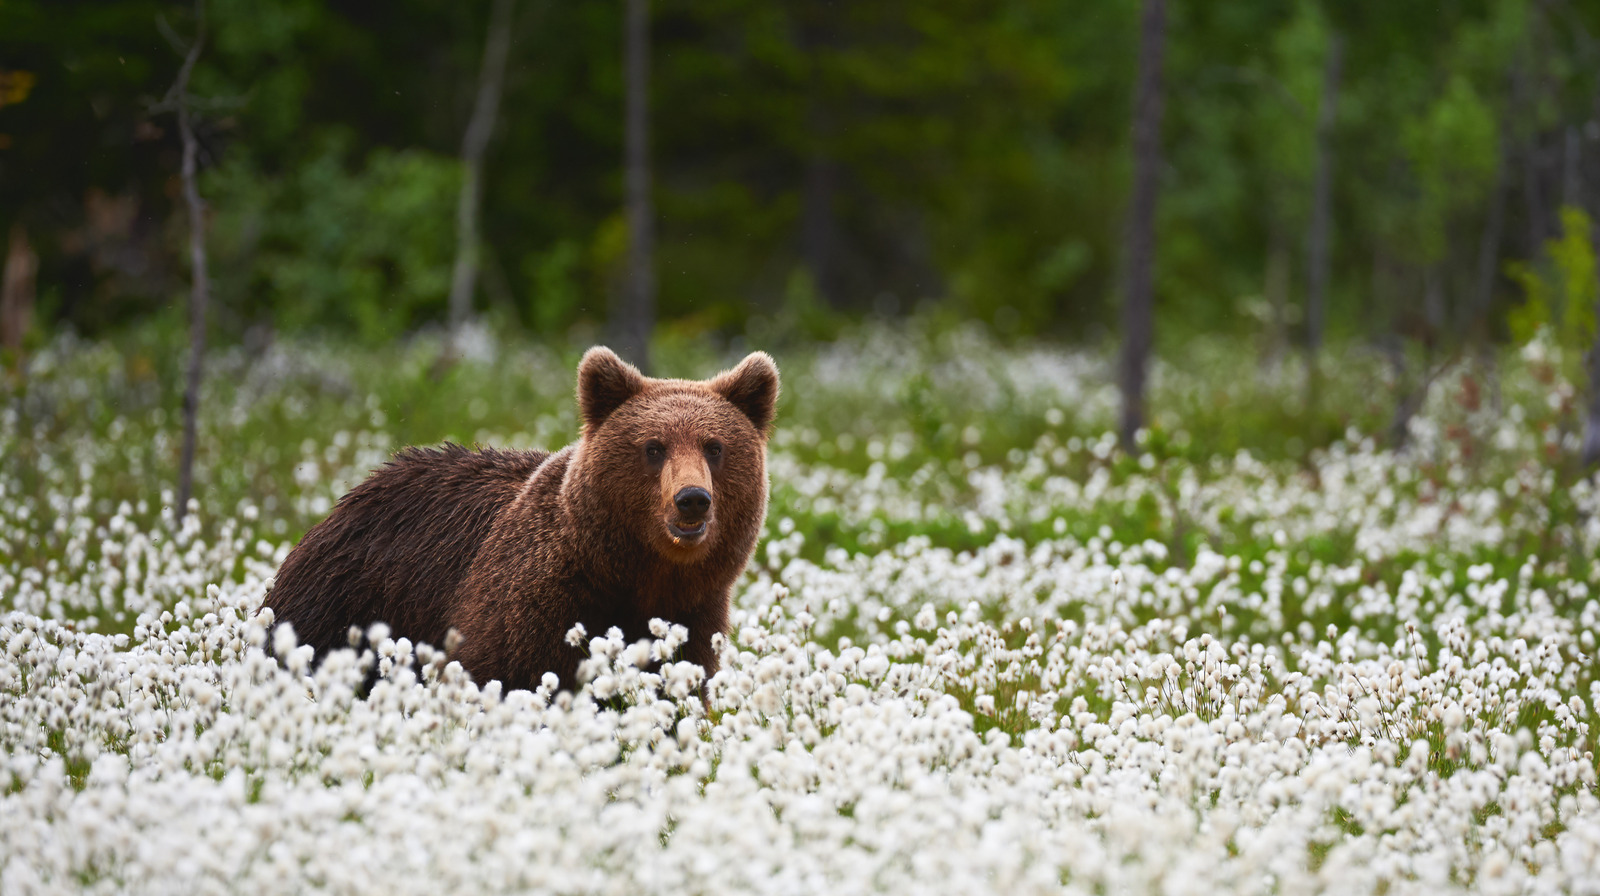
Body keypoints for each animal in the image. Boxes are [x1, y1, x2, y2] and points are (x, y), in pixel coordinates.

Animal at [263, 346, 779, 692]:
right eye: (654, 448)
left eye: (714, 447)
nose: (692, 499)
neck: (636, 574)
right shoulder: (535, 605)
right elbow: (510, 675)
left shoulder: (692, 616)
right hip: (346, 600)